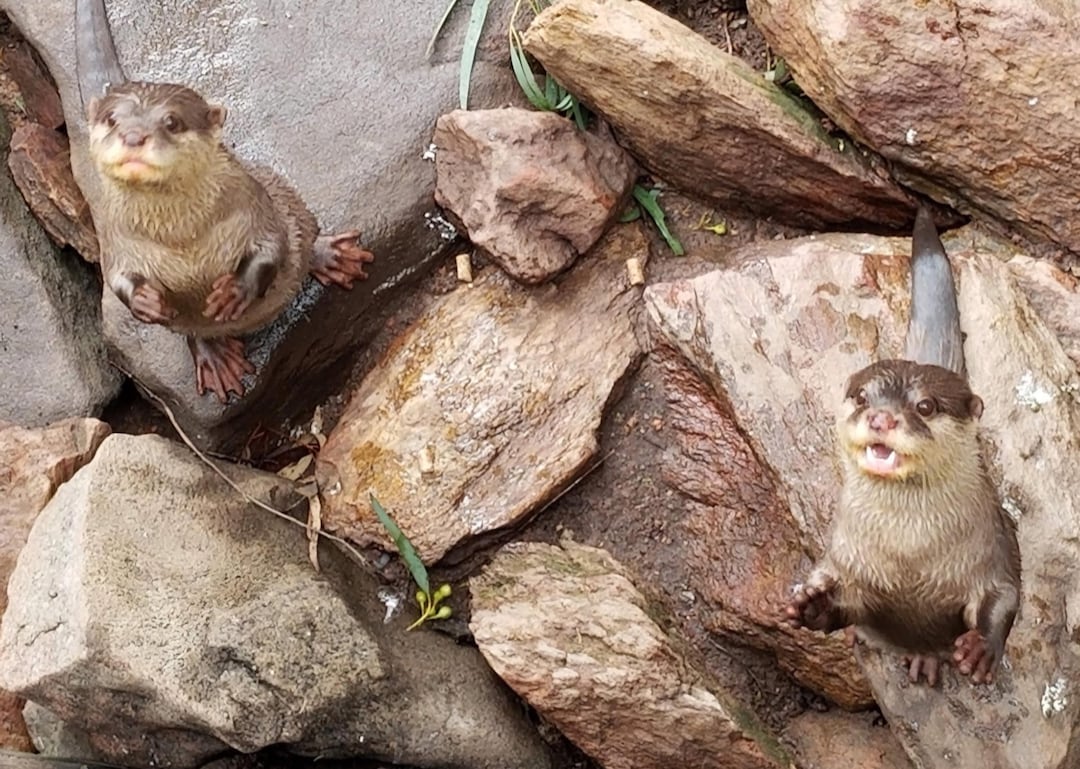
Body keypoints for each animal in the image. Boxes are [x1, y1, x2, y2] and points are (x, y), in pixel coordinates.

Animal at [75, 0, 375, 402]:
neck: (181, 238)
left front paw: (233, 292)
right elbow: (117, 279)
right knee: (193, 331)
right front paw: (146, 301)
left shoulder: (255, 209)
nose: (134, 136)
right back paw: (216, 358)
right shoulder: (114, 240)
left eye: (172, 122)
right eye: (111, 119)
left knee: (301, 236)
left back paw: (333, 255)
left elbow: (272, 248)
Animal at [784, 207, 1022, 686]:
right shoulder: (849, 564)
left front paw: (981, 649)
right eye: (861, 397)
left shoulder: (993, 552)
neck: (910, 555)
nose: (881, 417)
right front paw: (811, 604)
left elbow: (1005, 596)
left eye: (925, 405)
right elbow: (848, 604)